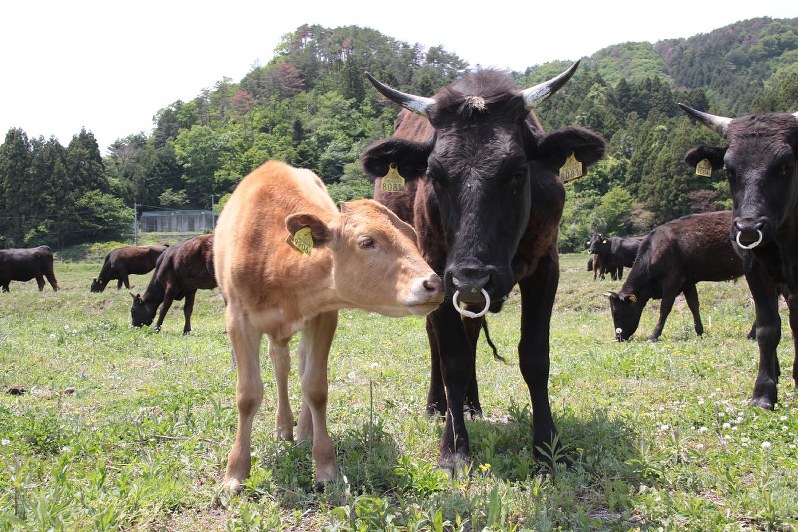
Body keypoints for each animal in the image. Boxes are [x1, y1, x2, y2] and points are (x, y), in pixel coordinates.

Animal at [215, 160, 443, 492]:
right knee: (281, 364)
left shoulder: (324, 315)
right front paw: (235, 472)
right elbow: (247, 395)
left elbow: (315, 388)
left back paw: (302, 431)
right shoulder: (238, 319)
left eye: (412, 235)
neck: (275, 260)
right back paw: (283, 426)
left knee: (299, 366)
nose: (434, 284)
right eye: (367, 241)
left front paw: (324, 466)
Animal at [360, 62, 606, 470]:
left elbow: (535, 356)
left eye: (518, 172)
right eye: (434, 175)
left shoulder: (546, 266)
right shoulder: (440, 270)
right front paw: (454, 448)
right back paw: (438, 405)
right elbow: (453, 359)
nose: (472, 276)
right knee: (437, 340)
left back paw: (472, 404)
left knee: (472, 333)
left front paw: (546, 446)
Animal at [606, 210, 751, 343]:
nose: (618, 338)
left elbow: (665, 308)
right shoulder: (688, 282)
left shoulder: (673, 280)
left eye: (616, 313)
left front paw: (654, 335)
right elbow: (693, 305)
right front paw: (699, 332)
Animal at [680, 104, 798, 410]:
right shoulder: (755, 270)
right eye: (729, 170)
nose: (748, 228)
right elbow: (768, 329)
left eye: (785, 165)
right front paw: (764, 392)